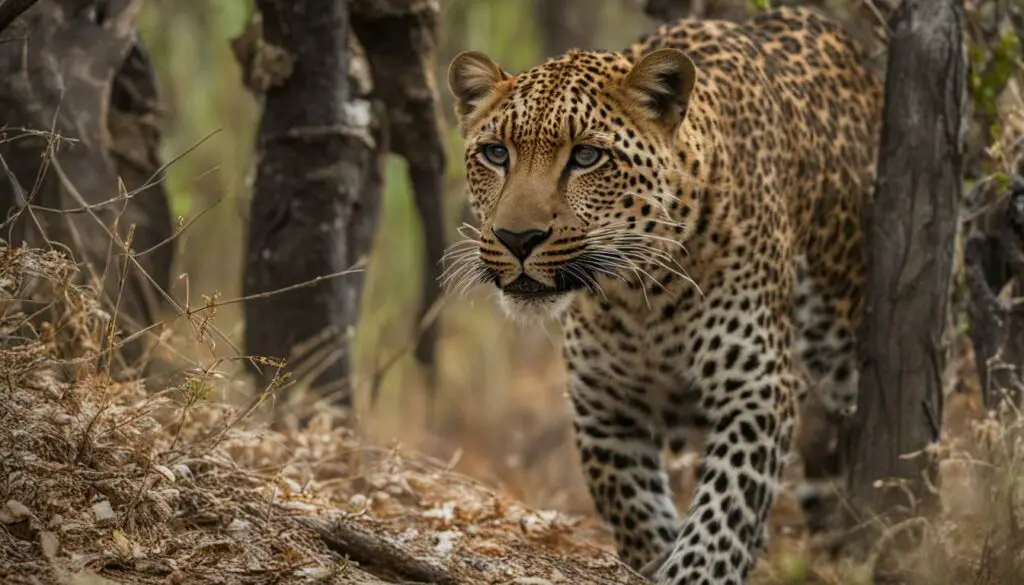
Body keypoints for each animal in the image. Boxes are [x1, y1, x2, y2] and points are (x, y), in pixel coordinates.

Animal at [444, 6, 881, 584]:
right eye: (496, 153)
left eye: (586, 156)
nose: (517, 239)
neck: (641, 296)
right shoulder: (604, 404)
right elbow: (632, 508)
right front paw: (654, 556)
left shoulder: (758, 388)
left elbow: (724, 511)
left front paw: (695, 568)